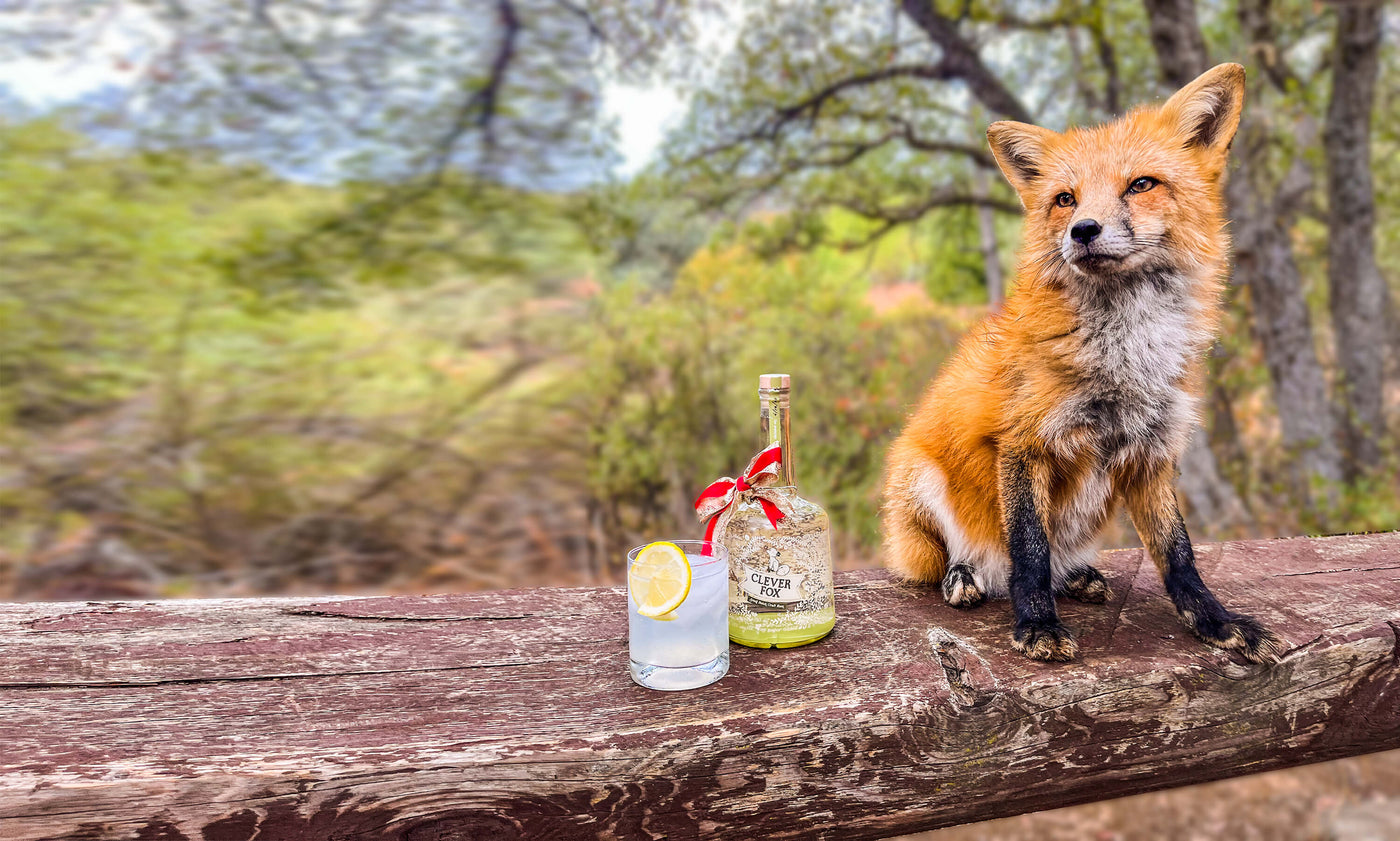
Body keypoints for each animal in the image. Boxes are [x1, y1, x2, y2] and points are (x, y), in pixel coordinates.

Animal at [881, 63, 1287, 664]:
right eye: (1065, 199)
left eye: (1141, 184)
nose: (1084, 231)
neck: (1126, 352)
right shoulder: (1022, 442)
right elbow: (1029, 550)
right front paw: (1036, 625)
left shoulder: (1153, 452)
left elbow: (1178, 553)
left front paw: (1215, 621)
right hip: (918, 478)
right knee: (956, 562)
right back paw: (965, 577)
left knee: (1058, 559)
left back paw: (1074, 576)